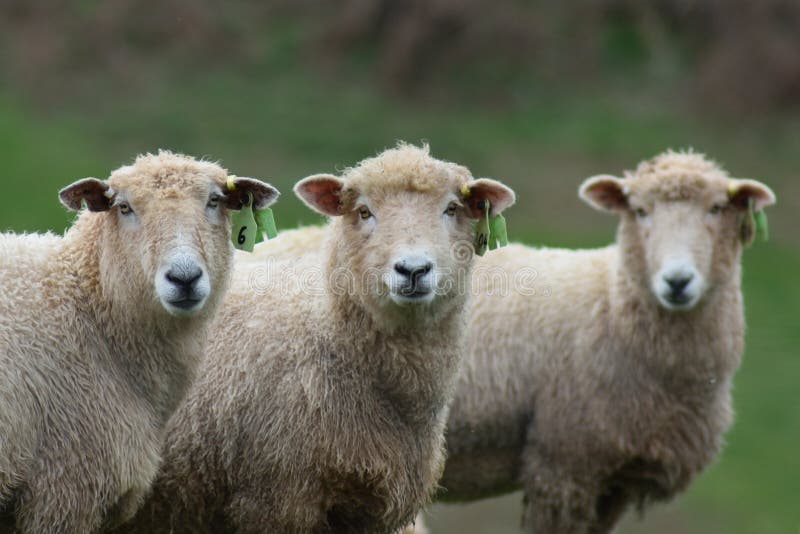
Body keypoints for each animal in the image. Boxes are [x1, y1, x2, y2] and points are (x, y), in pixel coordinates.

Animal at [435, 150, 776, 532]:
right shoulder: (563, 466)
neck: (610, 306)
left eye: (716, 208)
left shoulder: (615, 480)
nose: (677, 281)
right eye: (640, 210)